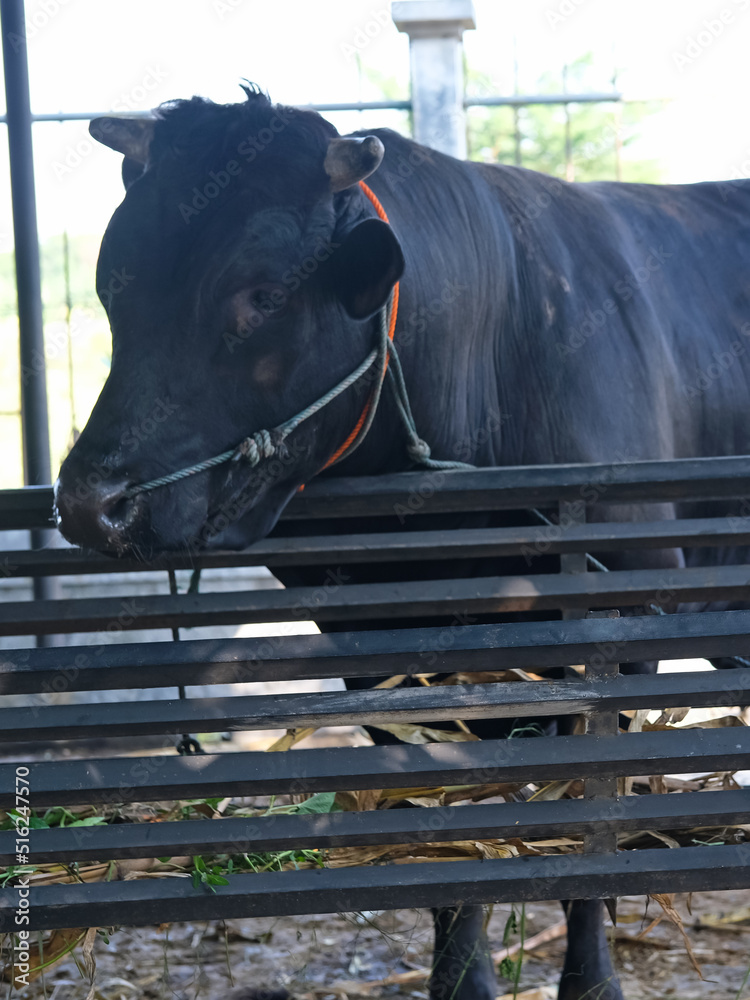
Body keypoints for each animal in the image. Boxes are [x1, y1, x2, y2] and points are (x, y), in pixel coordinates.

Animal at [54, 86, 750, 1000]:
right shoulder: (377, 644)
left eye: (263, 295)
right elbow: (434, 831)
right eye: (112, 286)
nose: (90, 504)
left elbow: (591, 827)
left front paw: (593, 982)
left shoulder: (625, 623)